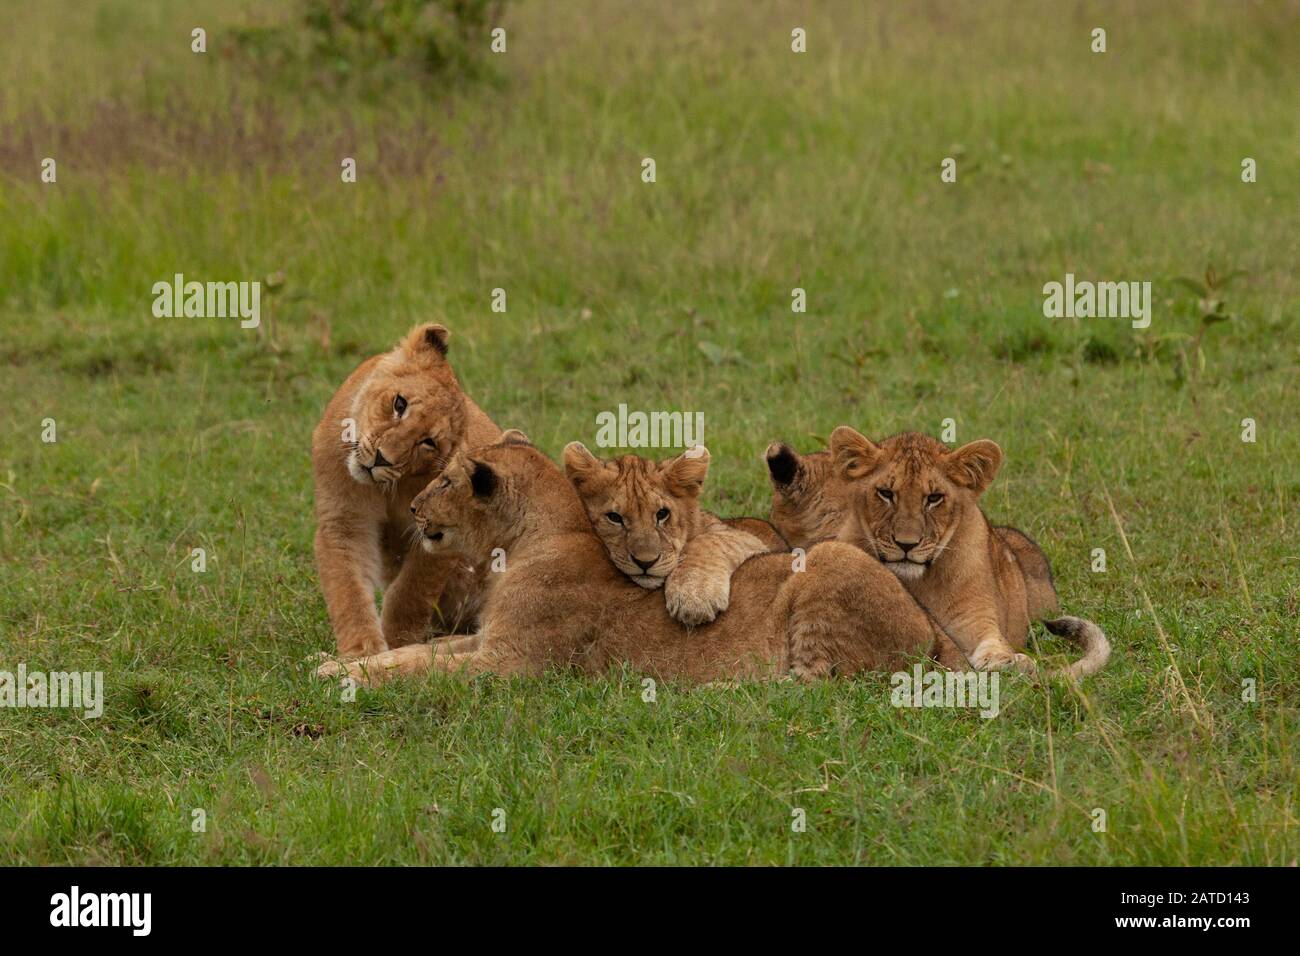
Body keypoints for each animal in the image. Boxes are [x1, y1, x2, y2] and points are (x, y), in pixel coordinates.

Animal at [311, 323, 501, 658]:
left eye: (428, 442)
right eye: (400, 404)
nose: (381, 458)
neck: (383, 489)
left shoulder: (440, 533)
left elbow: (410, 592)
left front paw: (395, 645)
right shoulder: (344, 521)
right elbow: (347, 590)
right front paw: (361, 652)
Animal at [562, 443, 786, 625]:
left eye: (662, 514)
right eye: (614, 517)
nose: (645, 562)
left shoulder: (752, 538)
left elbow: (709, 540)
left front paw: (694, 595)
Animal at [765, 430, 1109, 679]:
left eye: (934, 498)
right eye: (886, 493)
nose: (906, 544)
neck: (918, 583)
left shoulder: (975, 619)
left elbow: (991, 644)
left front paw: (1010, 662)